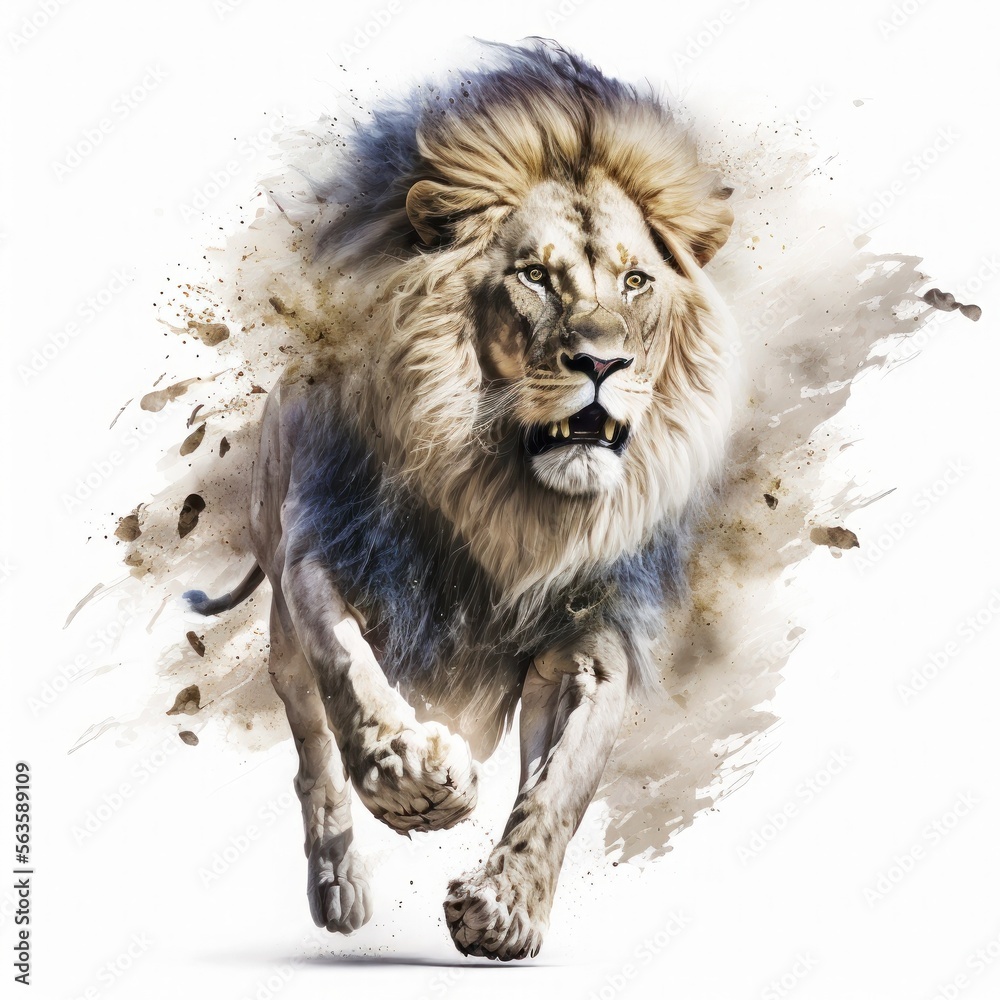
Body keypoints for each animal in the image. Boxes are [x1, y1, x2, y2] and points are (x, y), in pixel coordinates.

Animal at [185, 38, 737, 961]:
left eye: (634, 282)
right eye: (535, 277)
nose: (604, 363)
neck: (507, 505)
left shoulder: (591, 634)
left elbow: (564, 784)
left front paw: (507, 905)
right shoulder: (322, 553)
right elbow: (353, 676)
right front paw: (412, 781)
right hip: (280, 613)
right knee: (311, 752)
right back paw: (339, 886)